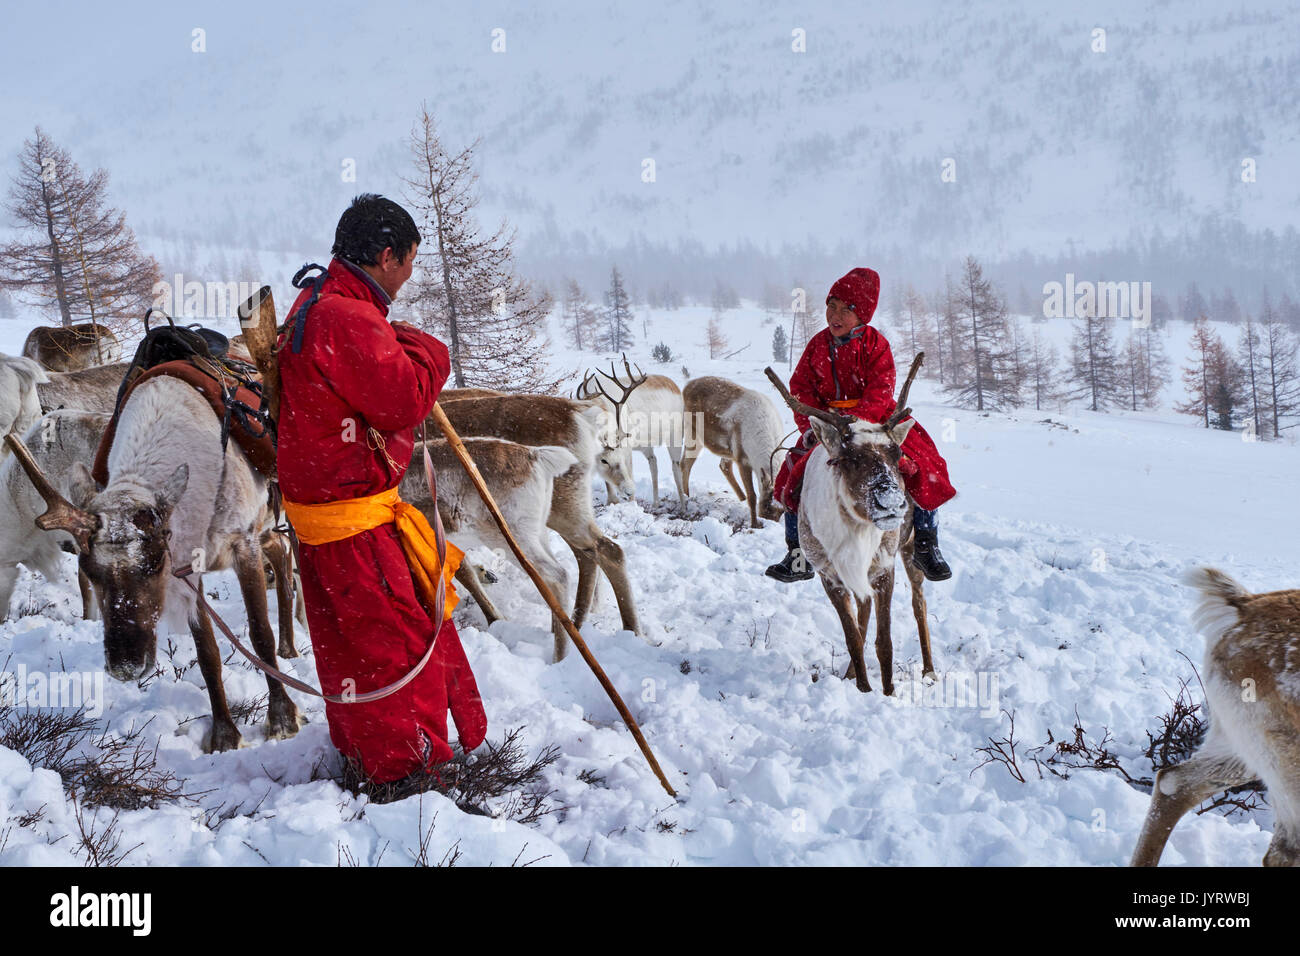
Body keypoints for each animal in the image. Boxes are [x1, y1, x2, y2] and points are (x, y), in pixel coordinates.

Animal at [7, 375, 301, 752]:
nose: (126, 667)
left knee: (286, 554)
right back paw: (288, 645)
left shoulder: (241, 542)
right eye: (90, 571)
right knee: (279, 551)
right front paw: (224, 734)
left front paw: (282, 718)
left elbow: (260, 632)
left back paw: (289, 646)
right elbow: (208, 653)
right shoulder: (192, 566)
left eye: (155, 563)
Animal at [431, 395, 644, 643]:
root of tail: (578, 413)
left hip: (558, 507)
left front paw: (494, 617)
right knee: (589, 554)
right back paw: (578, 620)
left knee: (604, 551)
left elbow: (460, 570)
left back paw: (625, 629)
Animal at [576, 356, 687, 508]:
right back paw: (656, 503)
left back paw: (683, 506)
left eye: (620, 457)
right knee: (653, 462)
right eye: (603, 460)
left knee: (676, 468)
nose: (628, 491)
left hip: (675, 435)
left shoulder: (626, 445)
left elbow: (630, 472)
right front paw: (612, 500)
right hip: (646, 445)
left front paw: (631, 503)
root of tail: (675, 386)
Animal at [680, 376, 786, 529]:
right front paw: (754, 524)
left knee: (723, 466)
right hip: (692, 433)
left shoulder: (736, 454)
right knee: (685, 463)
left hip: (724, 449)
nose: (769, 521)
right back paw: (686, 496)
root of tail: (686, 386)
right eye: (766, 505)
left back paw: (740, 498)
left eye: (782, 510)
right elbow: (752, 496)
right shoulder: (742, 458)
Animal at [764, 355, 935, 694]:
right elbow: (853, 637)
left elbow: (885, 643)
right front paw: (864, 690)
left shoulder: (884, 568)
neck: (856, 529)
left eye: (897, 454)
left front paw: (888, 694)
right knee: (863, 614)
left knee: (918, 603)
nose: (891, 502)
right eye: (847, 458)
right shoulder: (831, 575)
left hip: (910, 550)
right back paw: (849, 676)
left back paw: (930, 671)